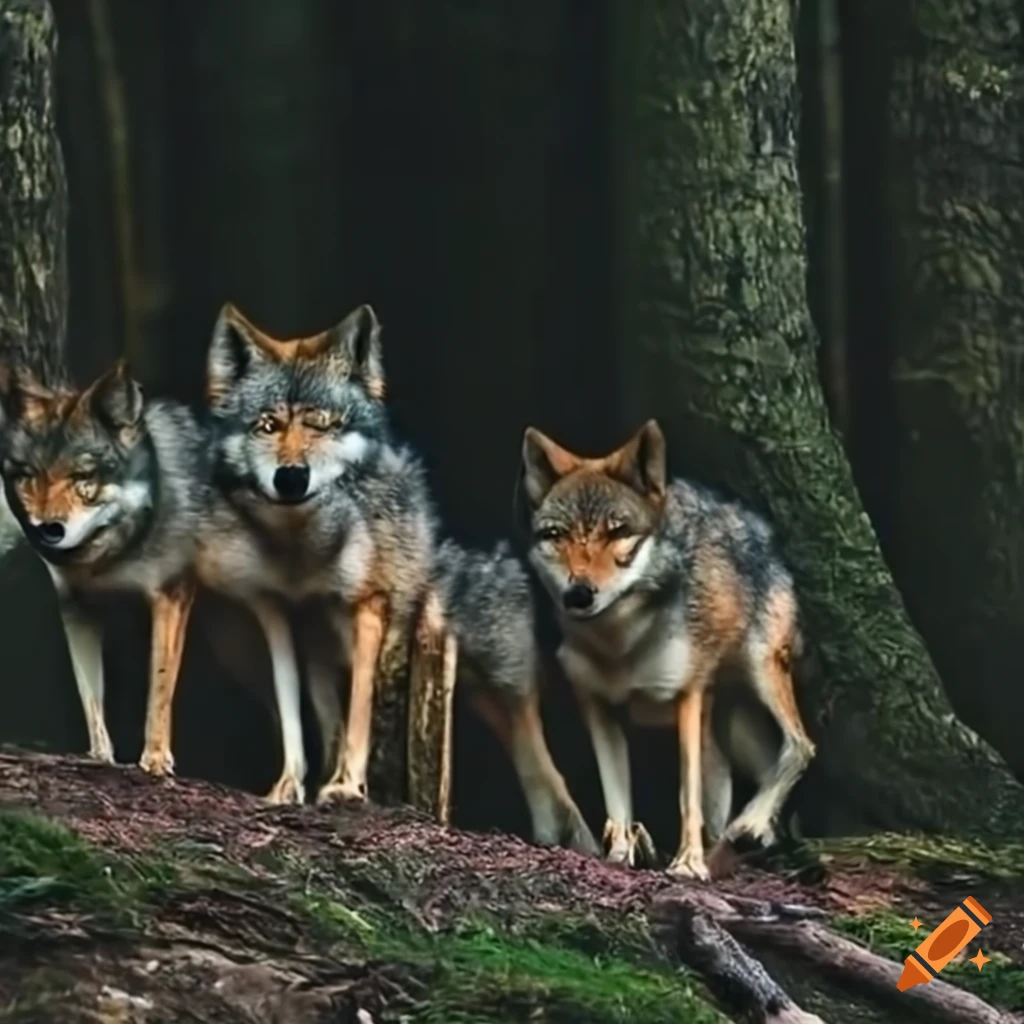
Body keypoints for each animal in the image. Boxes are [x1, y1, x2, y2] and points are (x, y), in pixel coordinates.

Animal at [0, 360, 204, 774]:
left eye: (82, 478)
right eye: (29, 477)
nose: (48, 530)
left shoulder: (171, 594)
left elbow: (159, 687)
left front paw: (155, 761)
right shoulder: (76, 605)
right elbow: (89, 693)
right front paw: (100, 756)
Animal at [520, 419, 816, 879]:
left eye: (618, 532)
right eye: (556, 536)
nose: (579, 594)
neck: (621, 643)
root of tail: (761, 530)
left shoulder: (686, 697)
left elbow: (685, 797)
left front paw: (688, 865)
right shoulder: (597, 707)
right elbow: (617, 799)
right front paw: (620, 856)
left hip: (760, 672)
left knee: (801, 747)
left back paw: (748, 829)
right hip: (728, 728)